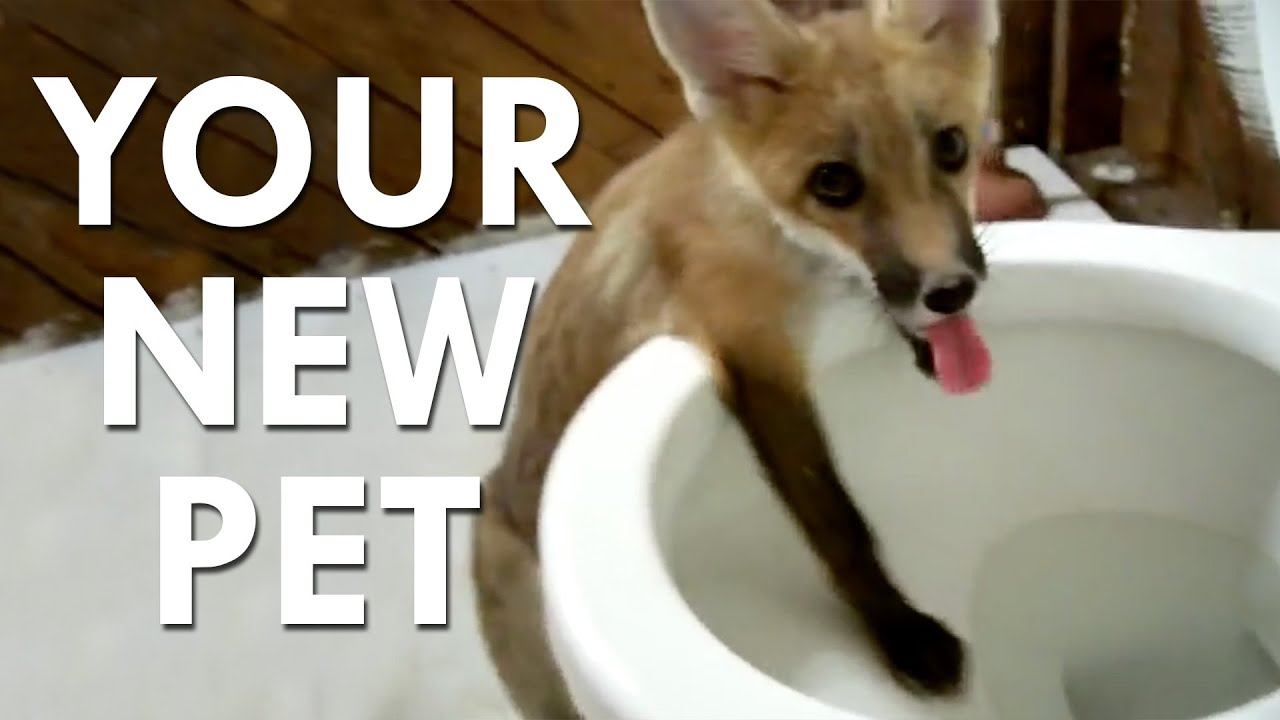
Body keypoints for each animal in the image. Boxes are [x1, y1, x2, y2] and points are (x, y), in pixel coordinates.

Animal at [472, 0, 1000, 717]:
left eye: (950, 147)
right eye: (834, 183)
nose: (949, 290)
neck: (764, 226)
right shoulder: (753, 354)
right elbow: (838, 522)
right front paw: (901, 632)